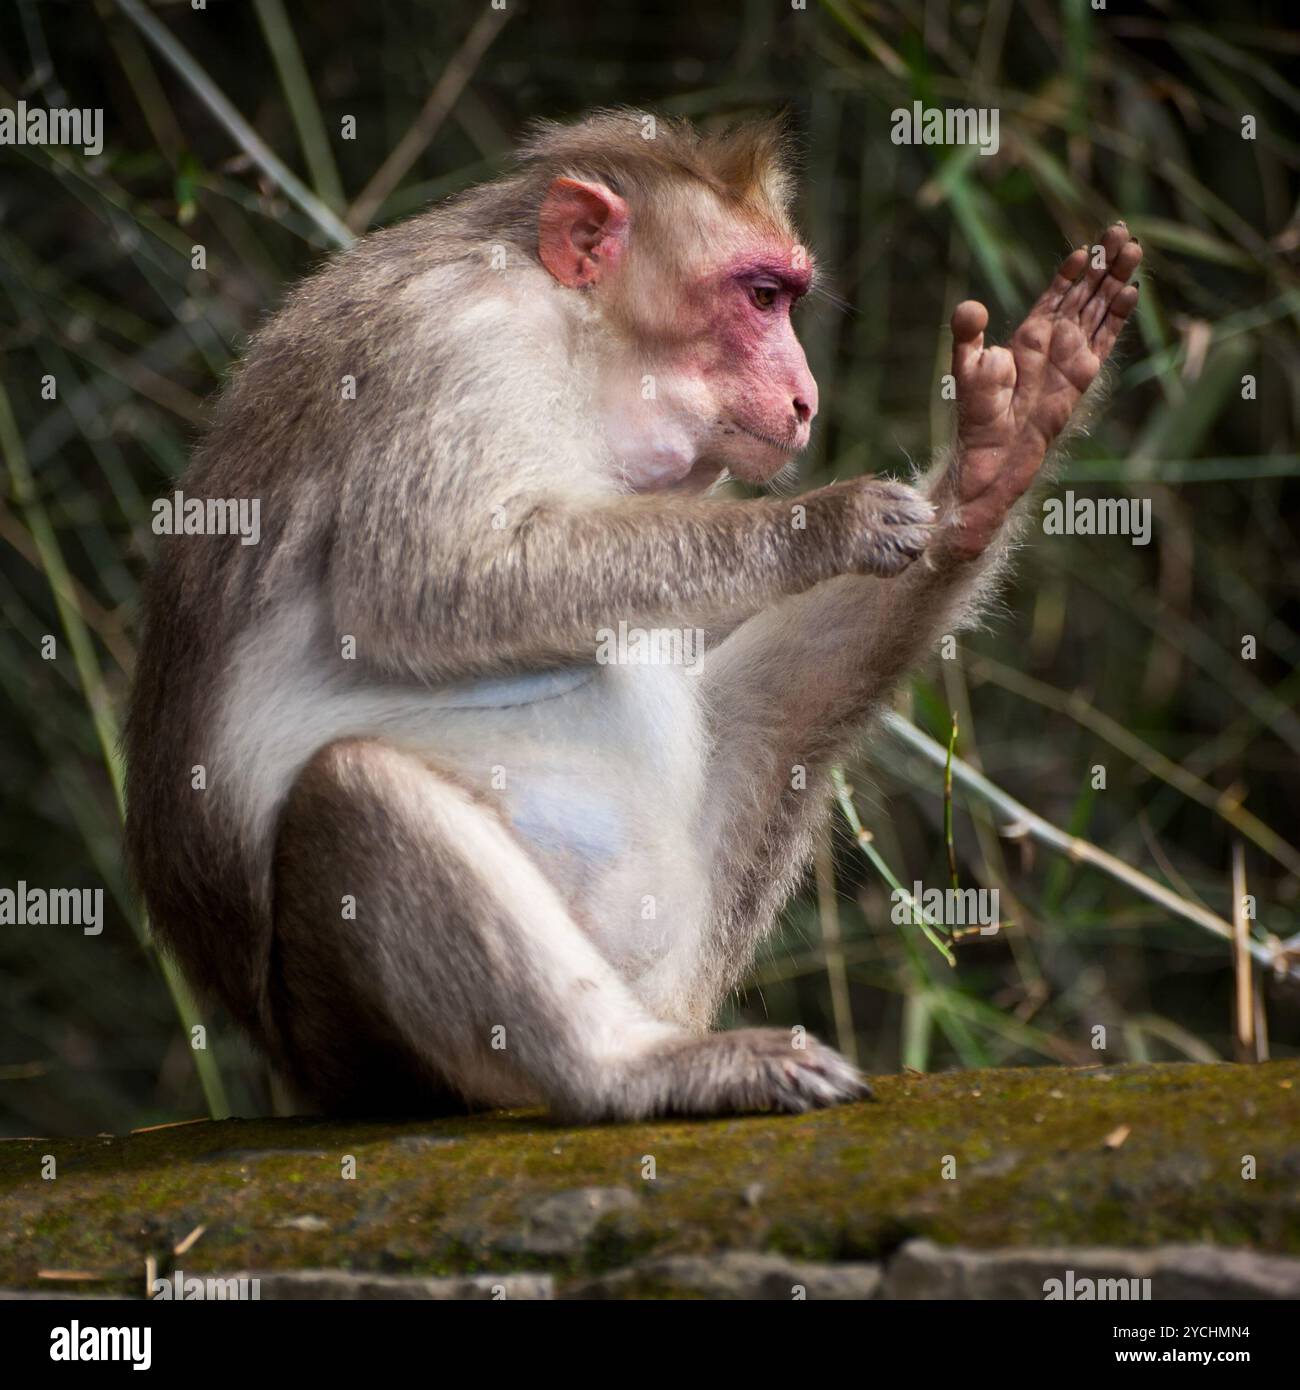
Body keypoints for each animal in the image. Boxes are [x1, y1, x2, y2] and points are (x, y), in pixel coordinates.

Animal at [125, 111, 1141, 1121]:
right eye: (760, 296)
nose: (807, 397)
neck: (570, 337)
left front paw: (996, 454)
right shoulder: (457, 343)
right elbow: (417, 584)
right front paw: (827, 523)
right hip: (362, 1046)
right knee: (354, 791)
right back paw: (626, 1070)